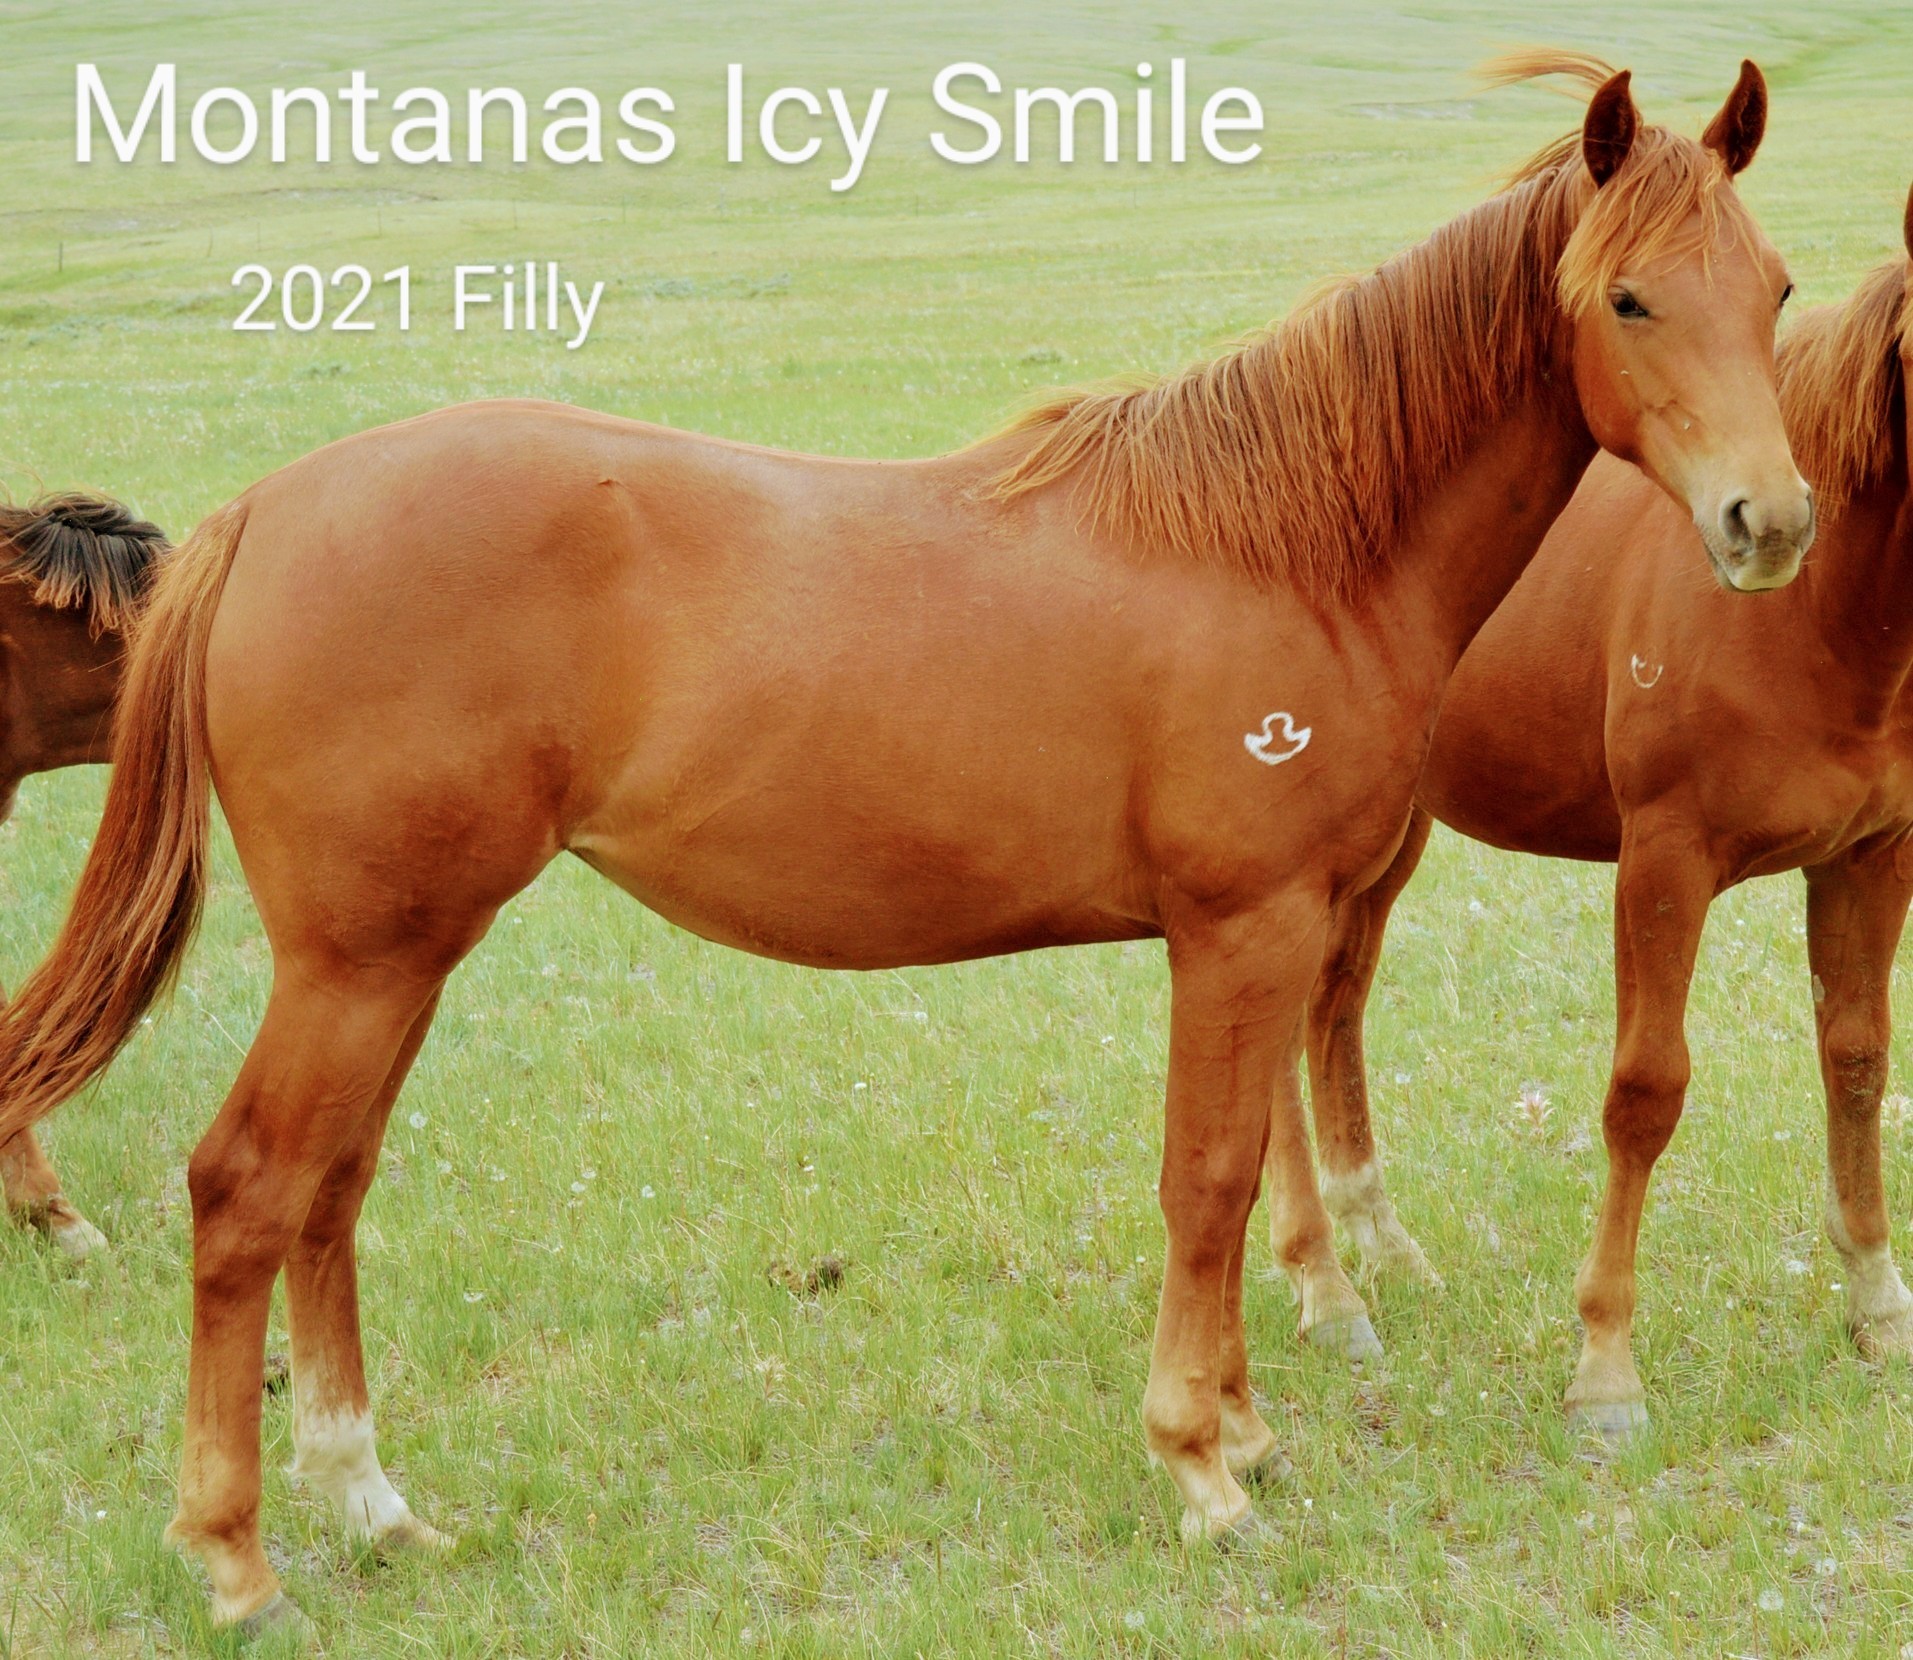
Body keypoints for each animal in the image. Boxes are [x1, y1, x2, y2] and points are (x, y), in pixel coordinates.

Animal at [0, 57, 1812, 1634]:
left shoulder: (1265, 936)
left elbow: (1227, 1176)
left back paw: (369, 1503)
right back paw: (238, 1560)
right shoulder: (1243, 930)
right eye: (1629, 299)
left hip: (397, 961)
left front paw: (1242, 1428)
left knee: (330, 1191)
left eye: (1777, 290)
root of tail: (264, 516)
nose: (1769, 524)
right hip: (359, 962)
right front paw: (1201, 1465)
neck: (1286, 549)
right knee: (249, 1192)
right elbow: (1210, 1179)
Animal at [1272, 183, 1913, 1441]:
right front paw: (1604, 1365)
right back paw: (1324, 1291)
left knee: (1333, 1006)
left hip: (1388, 836)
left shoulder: (1869, 858)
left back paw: (1380, 1246)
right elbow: (1643, 1091)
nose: (1766, 526)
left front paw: (1875, 1302)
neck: (1816, 613)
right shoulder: (1663, 862)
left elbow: (1856, 1062)